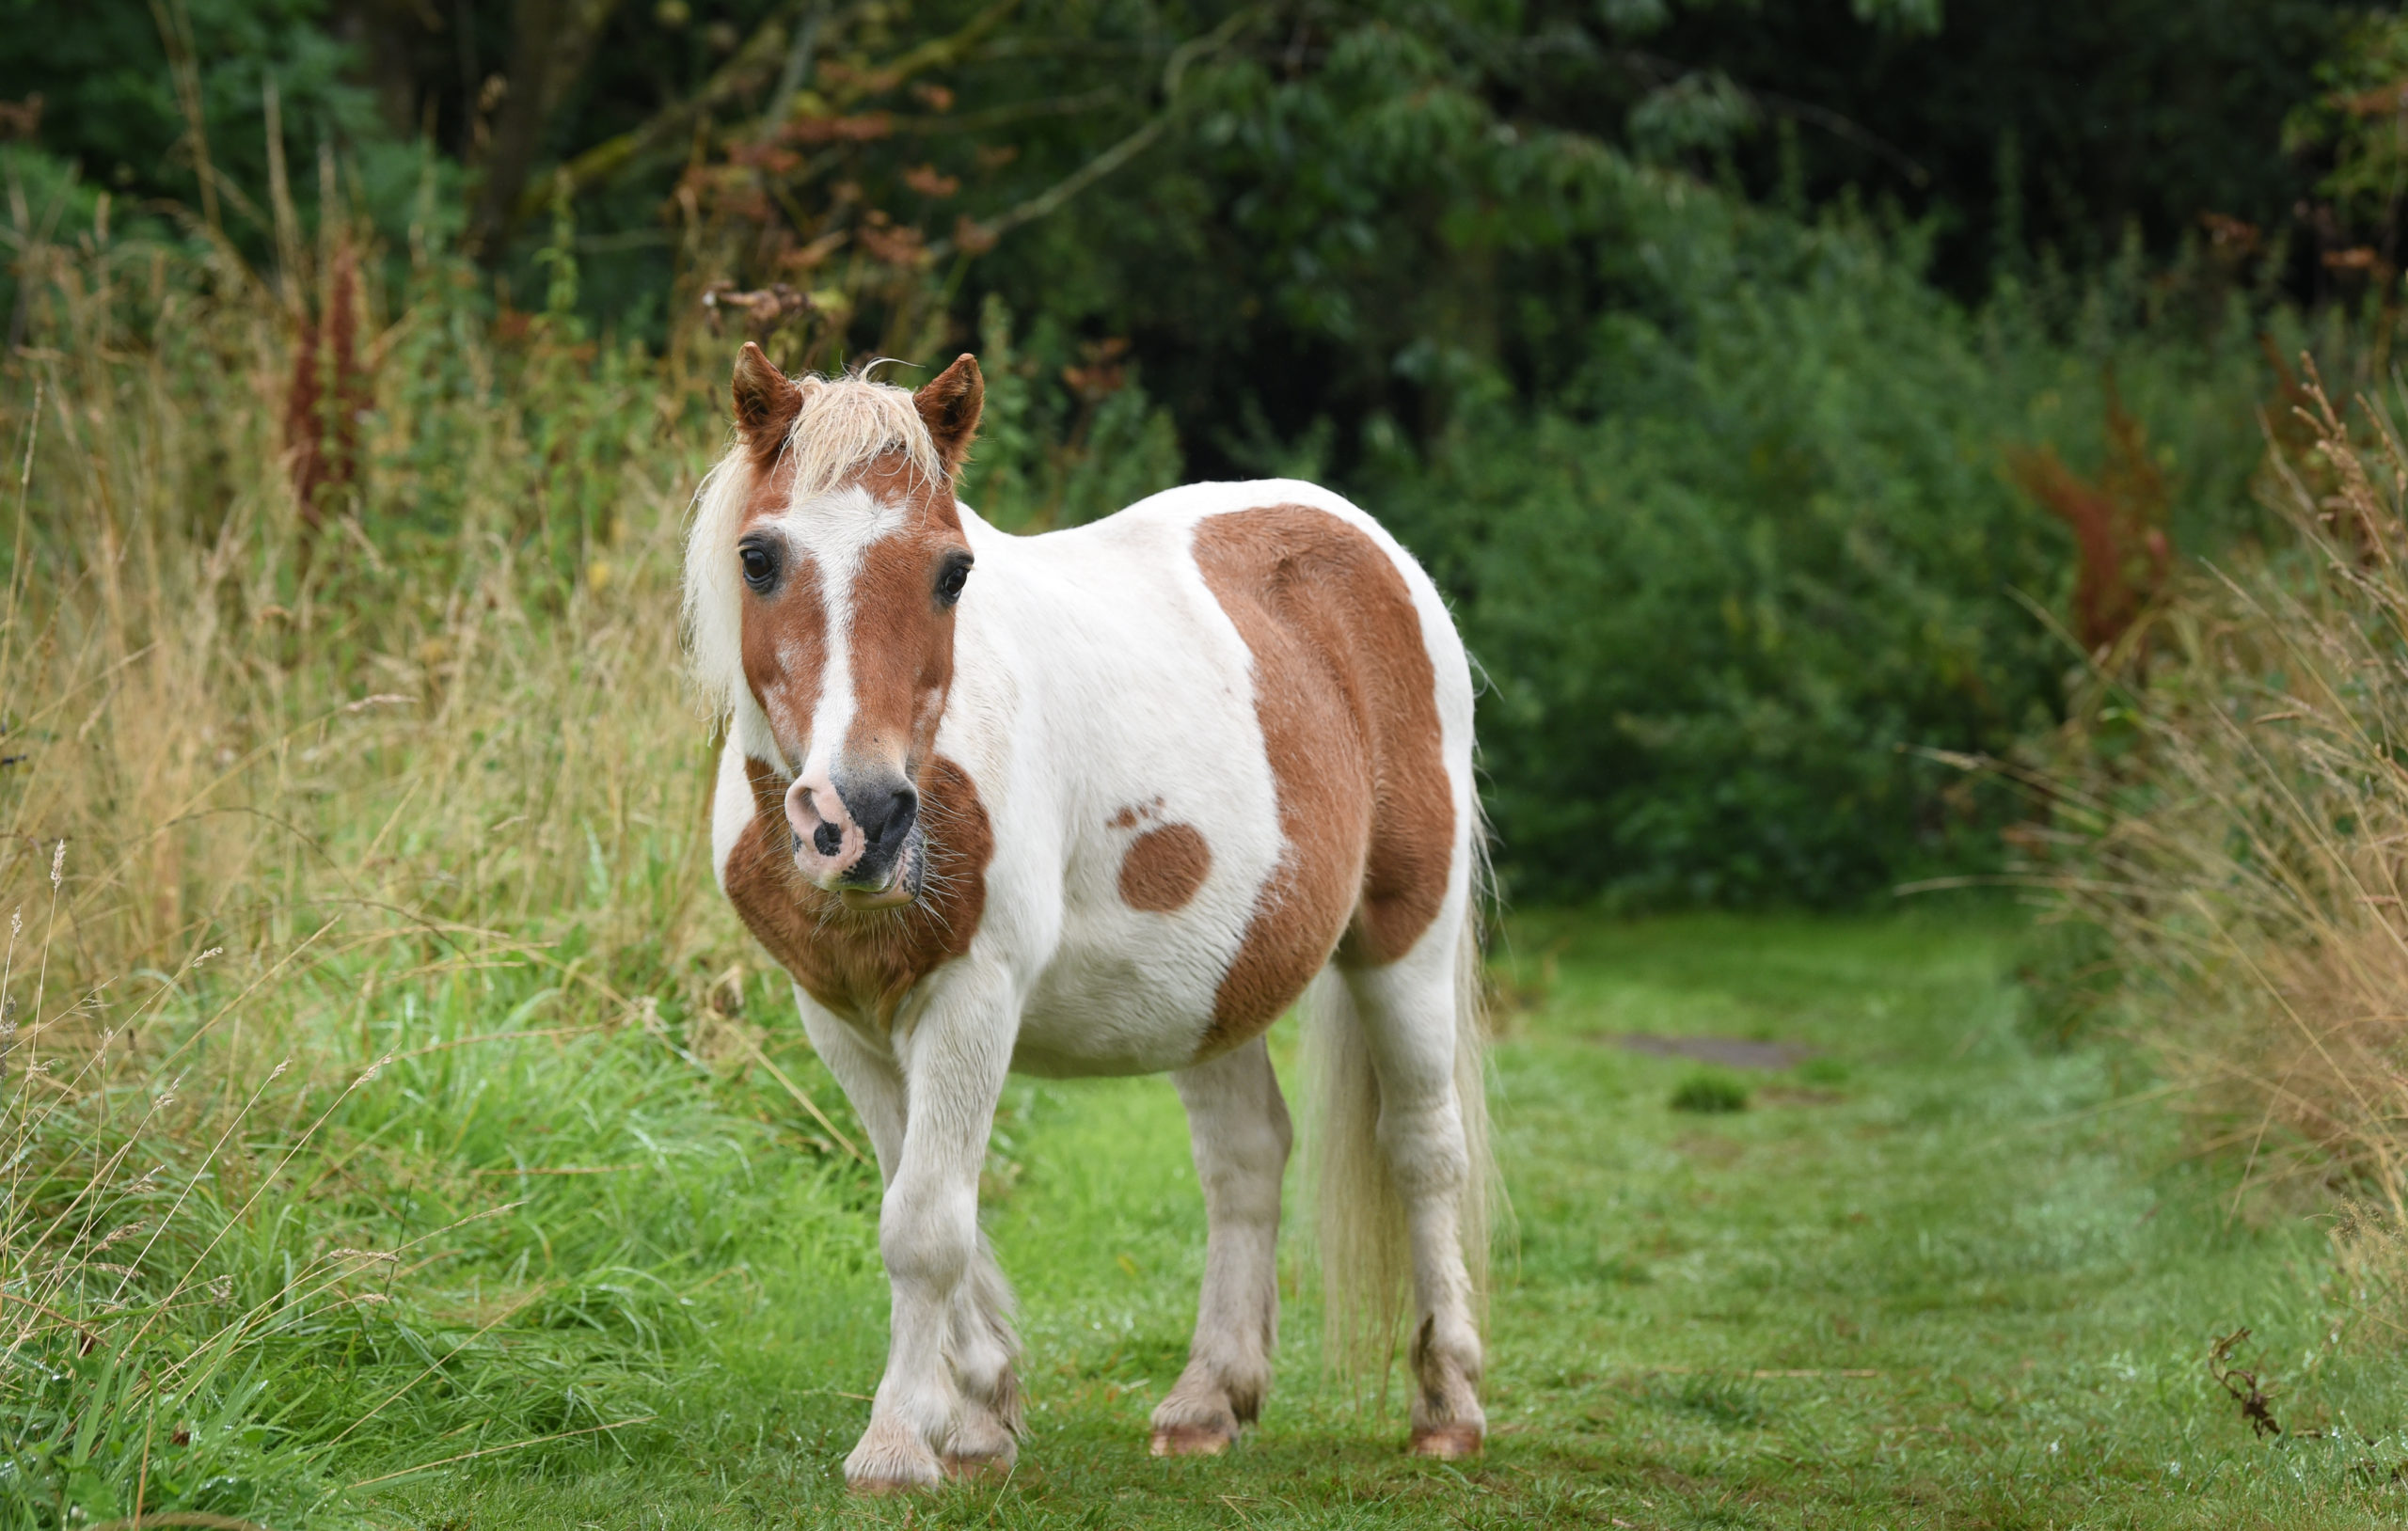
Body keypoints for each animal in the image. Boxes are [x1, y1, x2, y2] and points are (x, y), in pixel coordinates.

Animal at [686, 343, 1491, 1492]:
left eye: (953, 570)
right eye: (758, 557)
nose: (860, 819)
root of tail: (1370, 548)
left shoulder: (973, 997)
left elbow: (925, 1223)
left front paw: (897, 1445)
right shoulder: (837, 1017)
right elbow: (926, 1200)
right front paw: (978, 1415)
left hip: (1404, 944)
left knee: (1425, 1150)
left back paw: (1447, 1403)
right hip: (1213, 984)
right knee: (1247, 1155)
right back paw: (1207, 1400)